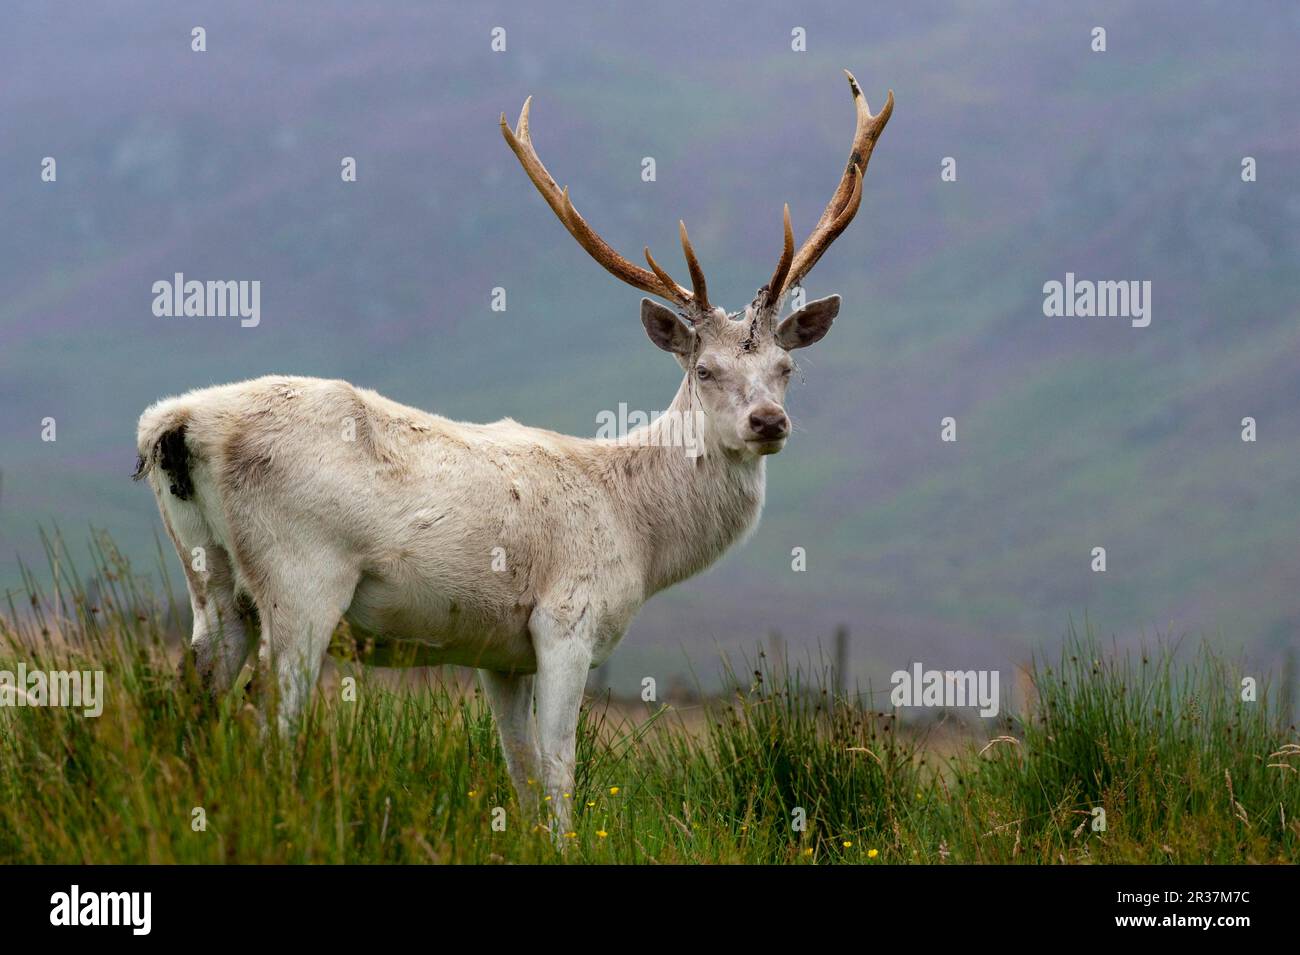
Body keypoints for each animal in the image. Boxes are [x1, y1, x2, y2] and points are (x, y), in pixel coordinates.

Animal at [134, 70, 891, 833]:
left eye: (786, 367)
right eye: (704, 369)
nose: (769, 421)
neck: (640, 535)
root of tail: (174, 422)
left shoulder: (501, 653)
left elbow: (519, 770)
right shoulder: (567, 621)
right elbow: (560, 772)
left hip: (210, 575)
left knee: (187, 700)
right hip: (302, 574)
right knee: (272, 725)